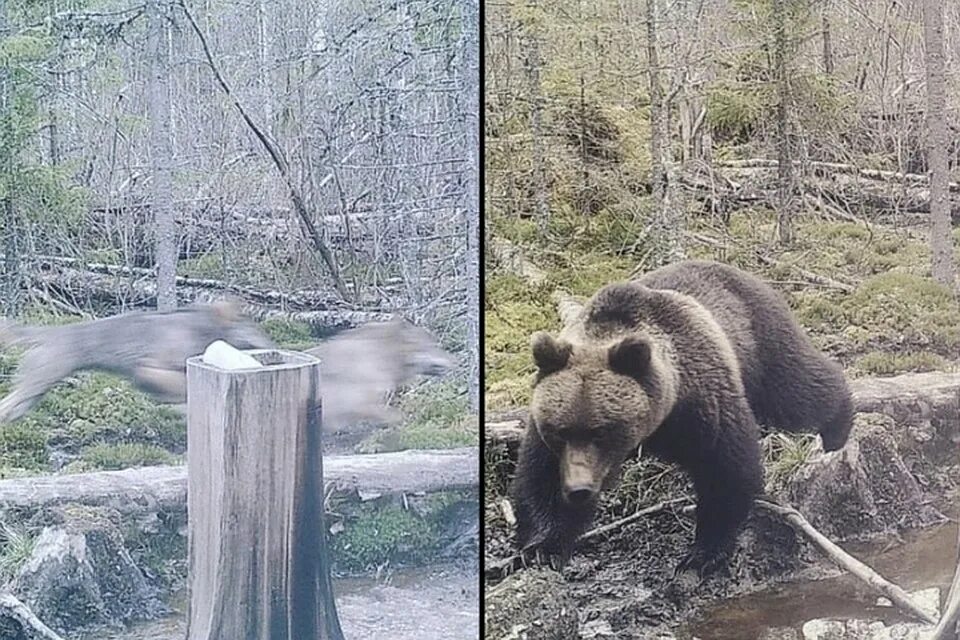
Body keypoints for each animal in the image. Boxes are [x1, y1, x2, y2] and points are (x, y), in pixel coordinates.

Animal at [511, 259, 854, 576]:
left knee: (797, 391)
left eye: (602, 431)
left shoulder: (701, 401)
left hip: (761, 339)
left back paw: (838, 426)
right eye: (561, 431)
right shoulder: (545, 432)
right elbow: (539, 477)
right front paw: (542, 546)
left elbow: (725, 468)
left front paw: (703, 553)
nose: (579, 488)